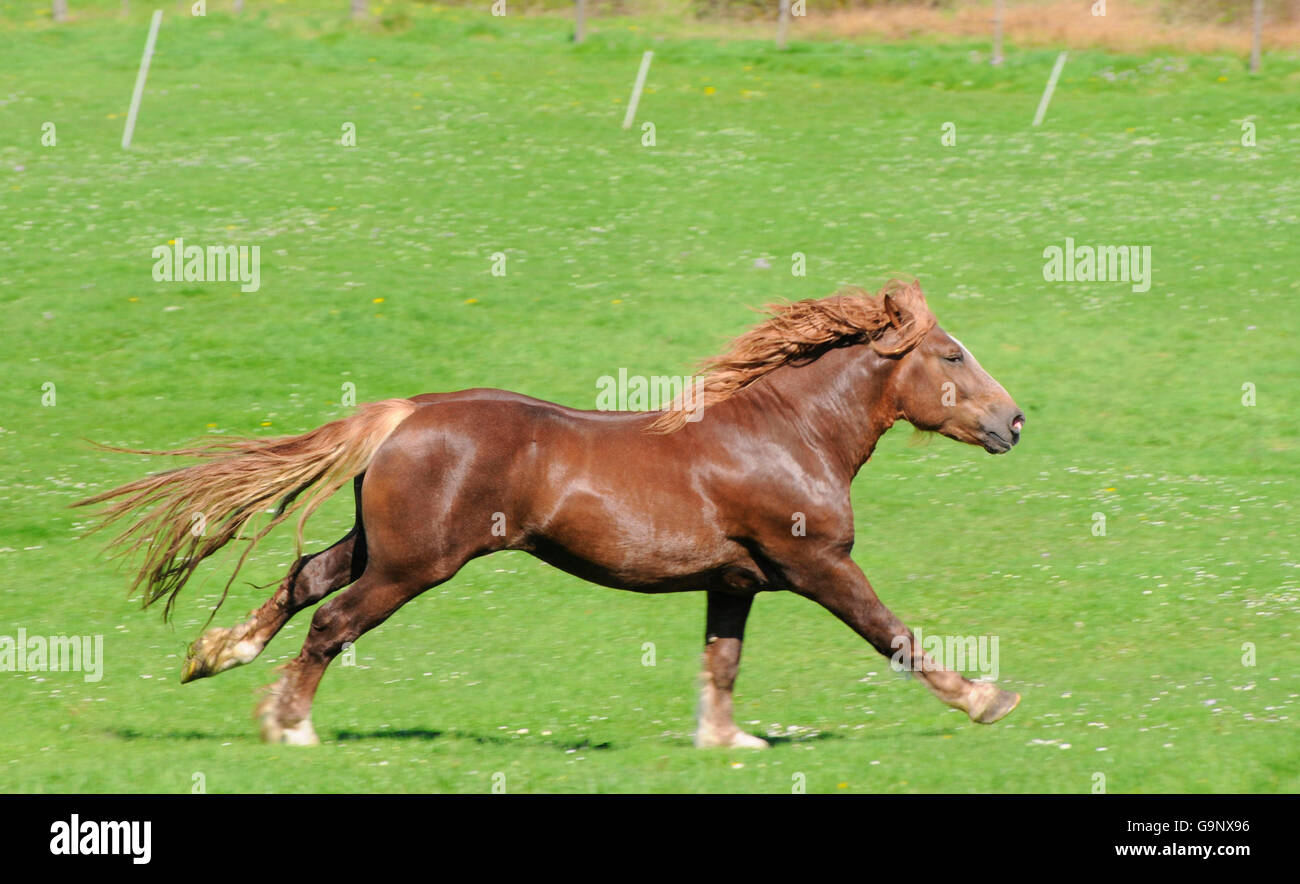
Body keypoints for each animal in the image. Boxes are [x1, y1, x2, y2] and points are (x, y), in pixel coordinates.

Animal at [76, 279, 1026, 748]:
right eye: (951, 355)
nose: (1013, 422)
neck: (786, 435)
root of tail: (403, 413)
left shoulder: (735, 582)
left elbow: (721, 664)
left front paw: (726, 744)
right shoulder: (817, 564)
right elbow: (894, 634)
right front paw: (988, 700)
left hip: (381, 544)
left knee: (305, 579)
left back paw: (216, 657)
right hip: (415, 564)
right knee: (332, 623)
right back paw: (291, 726)